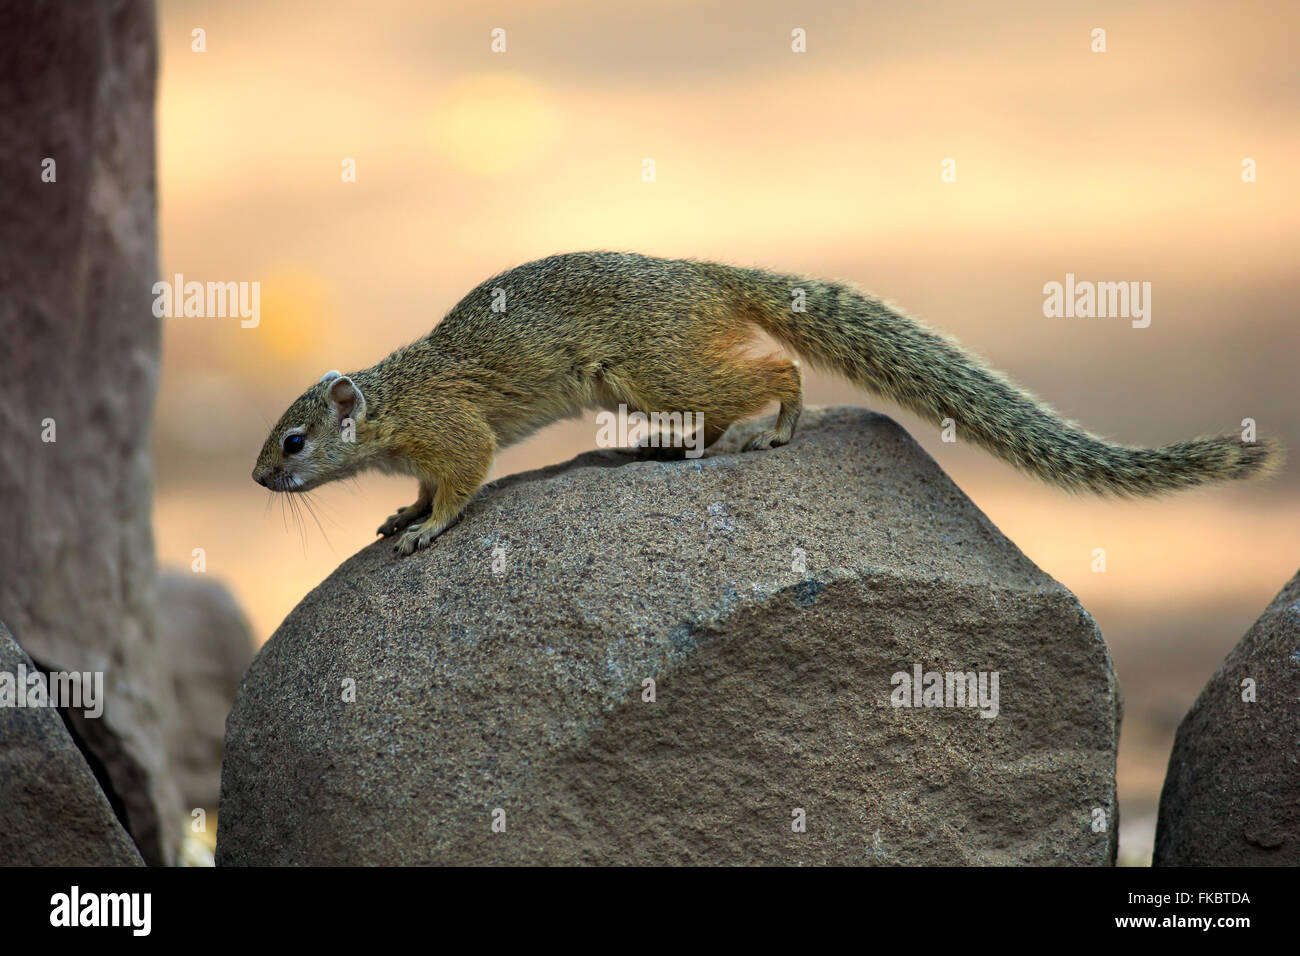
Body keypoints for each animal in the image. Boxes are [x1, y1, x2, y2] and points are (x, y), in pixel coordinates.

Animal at [252, 251, 1283, 555]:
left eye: (294, 441)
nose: (259, 478)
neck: (390, 403)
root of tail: (703, 275)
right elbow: (424, 487)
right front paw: (400, 514)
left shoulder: (452, 432)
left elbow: (463, 483)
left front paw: (427, 531)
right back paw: (679, 451)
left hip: (655, 372)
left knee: (777, 373)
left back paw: (776, 431)